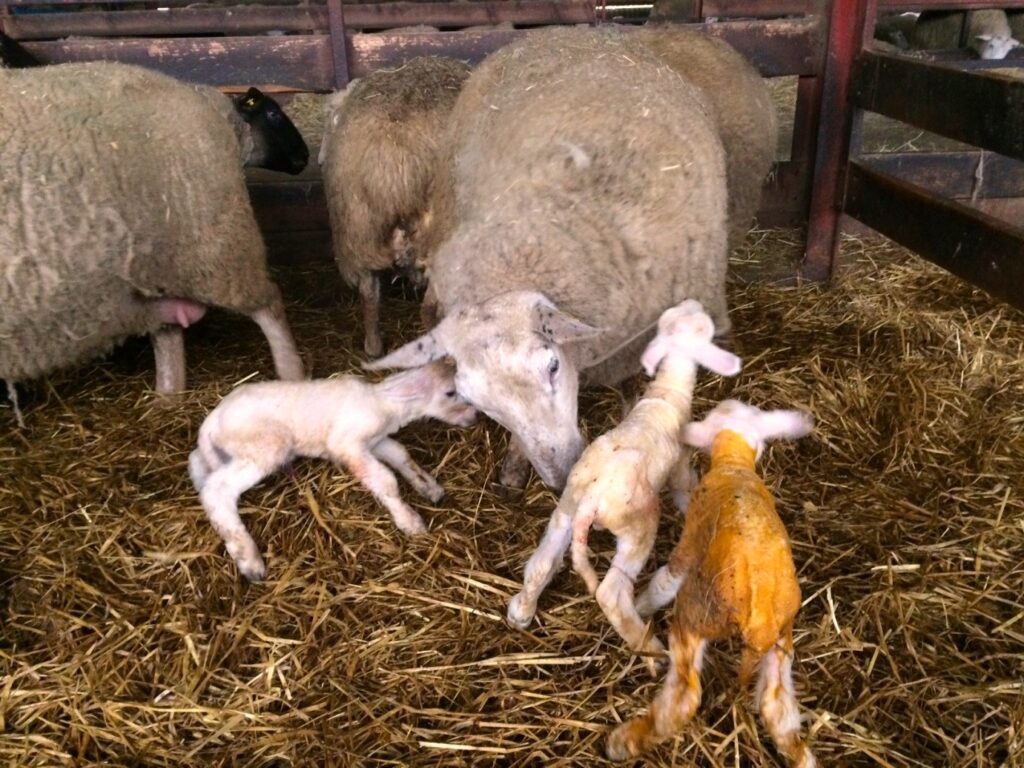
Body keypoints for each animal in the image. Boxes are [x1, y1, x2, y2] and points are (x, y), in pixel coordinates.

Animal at [0, 61, 310, 414]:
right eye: (272, 114)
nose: (305, 156)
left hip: (214, 244)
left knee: (268, 304)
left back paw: (291, 378)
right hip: (166, 260)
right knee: (170, 328)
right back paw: (167, 399)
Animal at [188, 361, 477, 581]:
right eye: (450, 392)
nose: (473, 417)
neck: (384, 404)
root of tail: (211, 422)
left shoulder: (376, 442)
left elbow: (401, 455)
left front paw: (428, 486)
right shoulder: (347, 443)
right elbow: (384, 480)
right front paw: (410, 521)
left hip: (224, 451)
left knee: (197, 464)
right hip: (265, 444)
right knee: (218, 490)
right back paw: (249, 561)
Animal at [318, 56, 471, 357]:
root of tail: (391, 162)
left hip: (356, 228)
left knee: (368, 292)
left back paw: (374, 347)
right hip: (439, 238)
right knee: (430, 310)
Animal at [506, 300, 741, 672]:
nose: (694, 302)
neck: (666, 392)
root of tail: (591, 501)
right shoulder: (679, 464)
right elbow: (684, 488)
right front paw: (694, 503)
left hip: (566, 509)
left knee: (542, 562)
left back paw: (521, 612)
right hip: (636, 529)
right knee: (612, 592)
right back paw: (654, 652)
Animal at [607, 399, 815, 766]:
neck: (735, 463)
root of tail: (760, 619)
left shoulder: (691, 541)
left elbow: (666, 579)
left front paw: (642, 604)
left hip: (696, 616)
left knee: (685, 696)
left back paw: (624, 741)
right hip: (782, 639)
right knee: (776, 708)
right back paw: (802, 755)